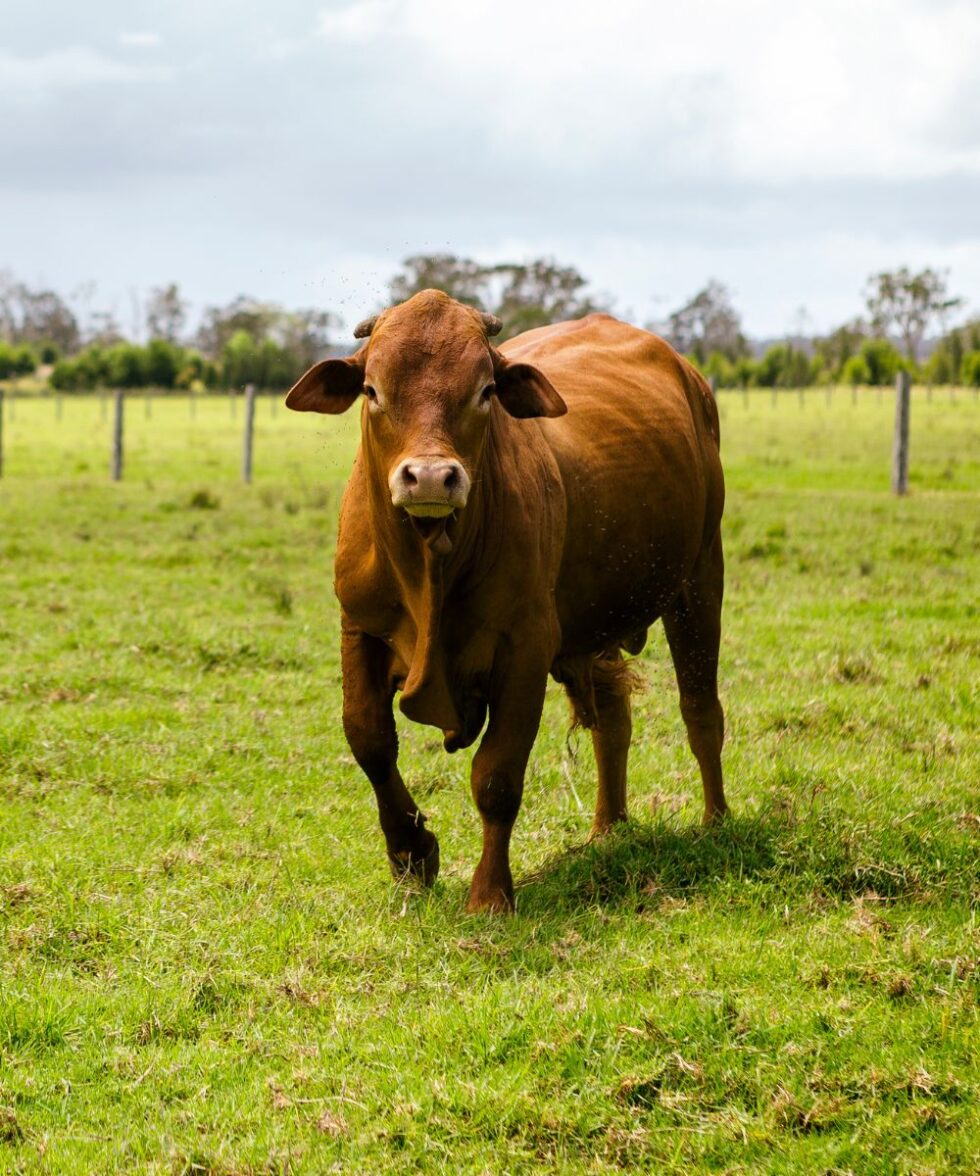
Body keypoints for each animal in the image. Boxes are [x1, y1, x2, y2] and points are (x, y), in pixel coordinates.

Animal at [285, 289, 727, 913]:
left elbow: (496, 774)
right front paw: (411, 854)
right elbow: (369, 741)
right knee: (614, 719)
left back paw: (717, 821)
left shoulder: (524, 650)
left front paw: (491, 894)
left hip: (700, 579)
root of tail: (688, 375)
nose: (429, 478)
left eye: (485, 391)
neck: (431, 567)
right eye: (373, 390)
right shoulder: (359, 629)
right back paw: (607, 829)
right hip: (598, 617)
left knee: (700, 709)